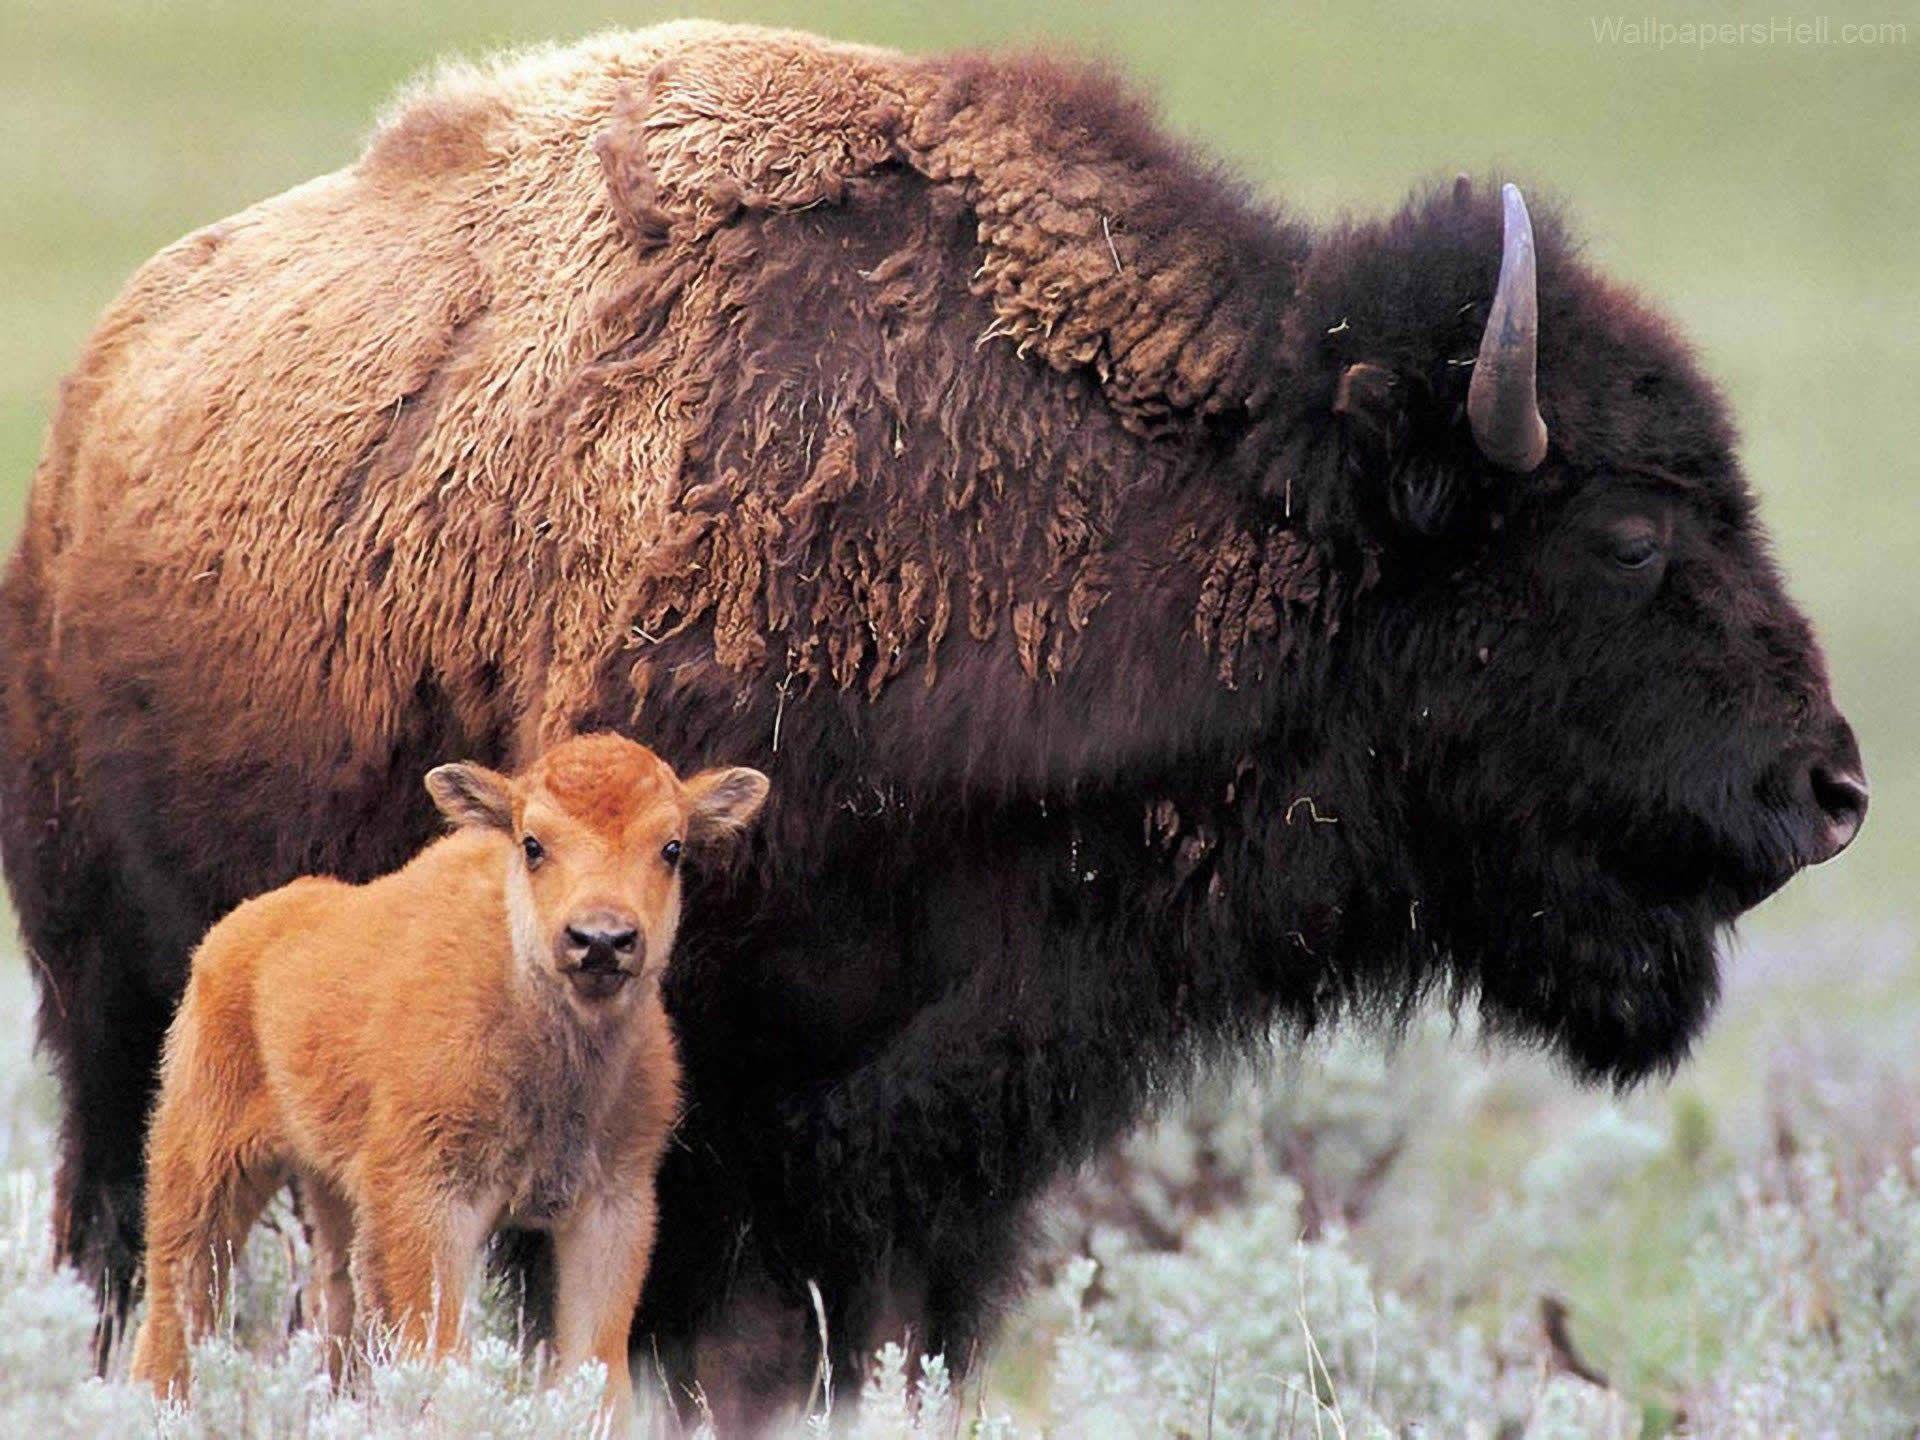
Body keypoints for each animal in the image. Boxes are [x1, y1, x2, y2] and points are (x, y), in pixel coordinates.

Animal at [0, 21, 1865, 1429]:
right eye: (1627, 537)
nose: (1830, 792)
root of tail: (89, 420)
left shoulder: (950, 1143)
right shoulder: (725, 1150)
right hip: (120, 1005)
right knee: (129, 1234)